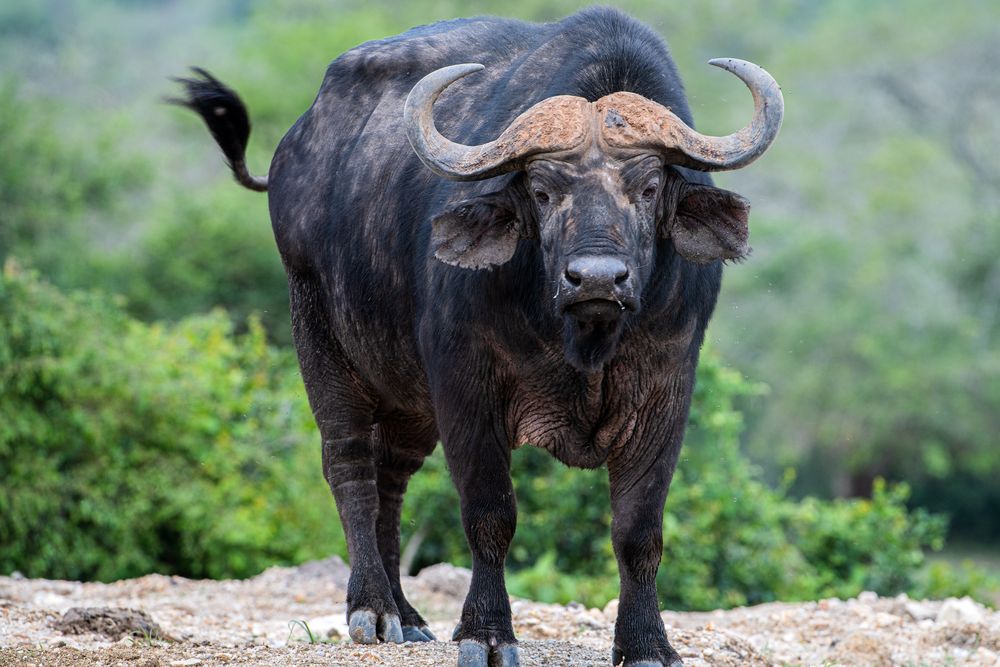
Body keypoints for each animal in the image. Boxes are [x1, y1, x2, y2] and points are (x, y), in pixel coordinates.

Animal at [175, 7, 782, 667]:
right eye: (541, 191)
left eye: (648, 189)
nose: (597, 278)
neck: (583, 336)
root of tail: (293, 150)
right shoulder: (466, 383)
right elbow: (490, 513)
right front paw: (487, 633)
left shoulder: (666, 388)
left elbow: (638, 528)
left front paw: (647, 643)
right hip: (315, 327)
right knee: (349, 464)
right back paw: (374, 609)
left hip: (409, 395)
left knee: (392, 476)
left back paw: (409, 615)